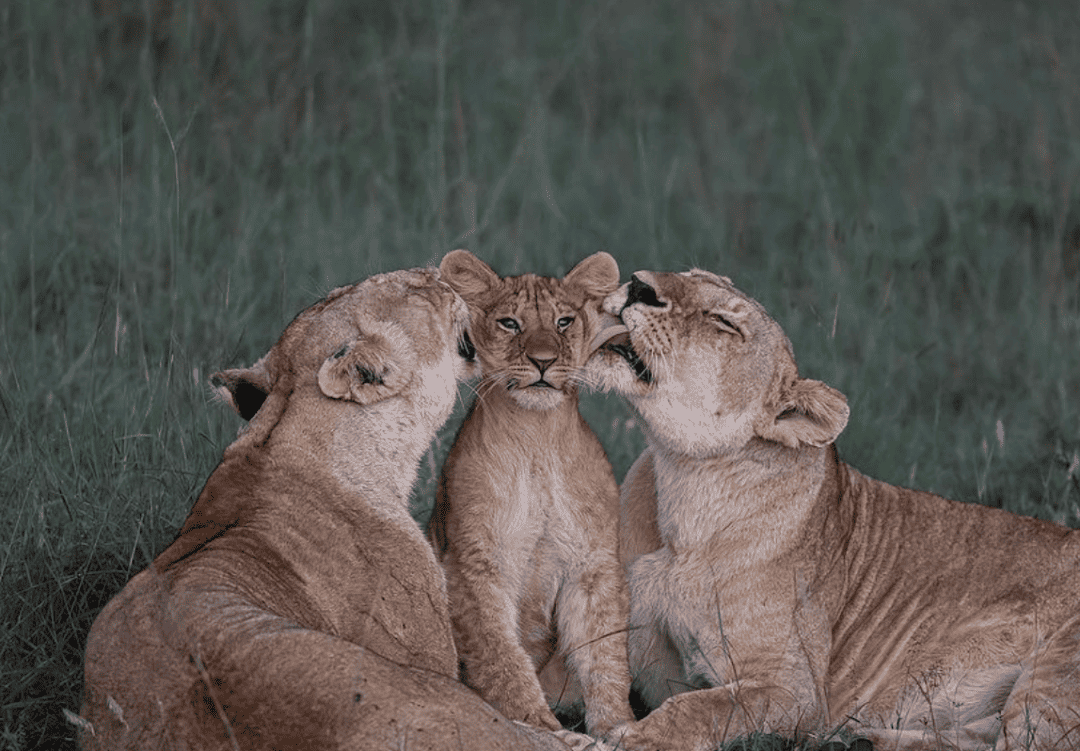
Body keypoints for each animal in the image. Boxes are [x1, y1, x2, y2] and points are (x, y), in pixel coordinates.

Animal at [427, 250, 635, 739]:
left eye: (563, 321)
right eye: (509, 323)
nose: (543, 361)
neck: (537, 437)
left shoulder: (592, 564)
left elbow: (605, 654)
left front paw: (618, 725)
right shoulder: (474, 564)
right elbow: (499, 653)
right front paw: (537, 724)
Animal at [587, 269, 1080, 751]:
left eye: (724, 322)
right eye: (689, 273)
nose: (639, 284)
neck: (682, 487)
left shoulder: (794, 690)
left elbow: (698, 708)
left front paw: (630, 737)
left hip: (1053, 674)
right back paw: (861, 739)